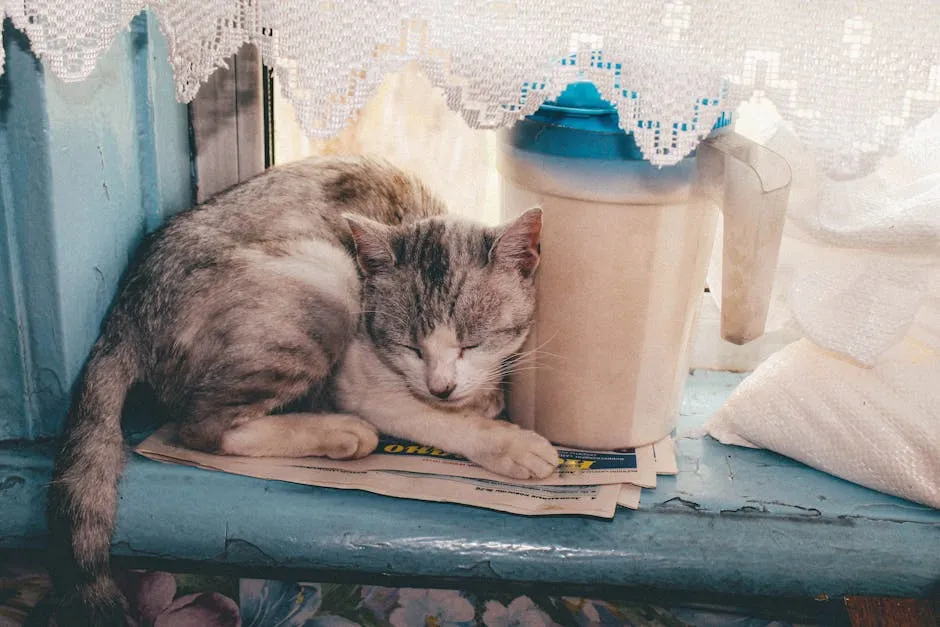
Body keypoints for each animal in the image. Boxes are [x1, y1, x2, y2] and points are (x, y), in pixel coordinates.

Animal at [46, 157, 560, 627]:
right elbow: (434, 419)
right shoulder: (361, 385)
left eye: (471, 343)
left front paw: (484, 397)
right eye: (410, 347)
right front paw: (508, 442)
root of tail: (124, 311)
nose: (441, 385)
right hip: (325, 277)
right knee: (200, 426)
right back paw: (339, 433)